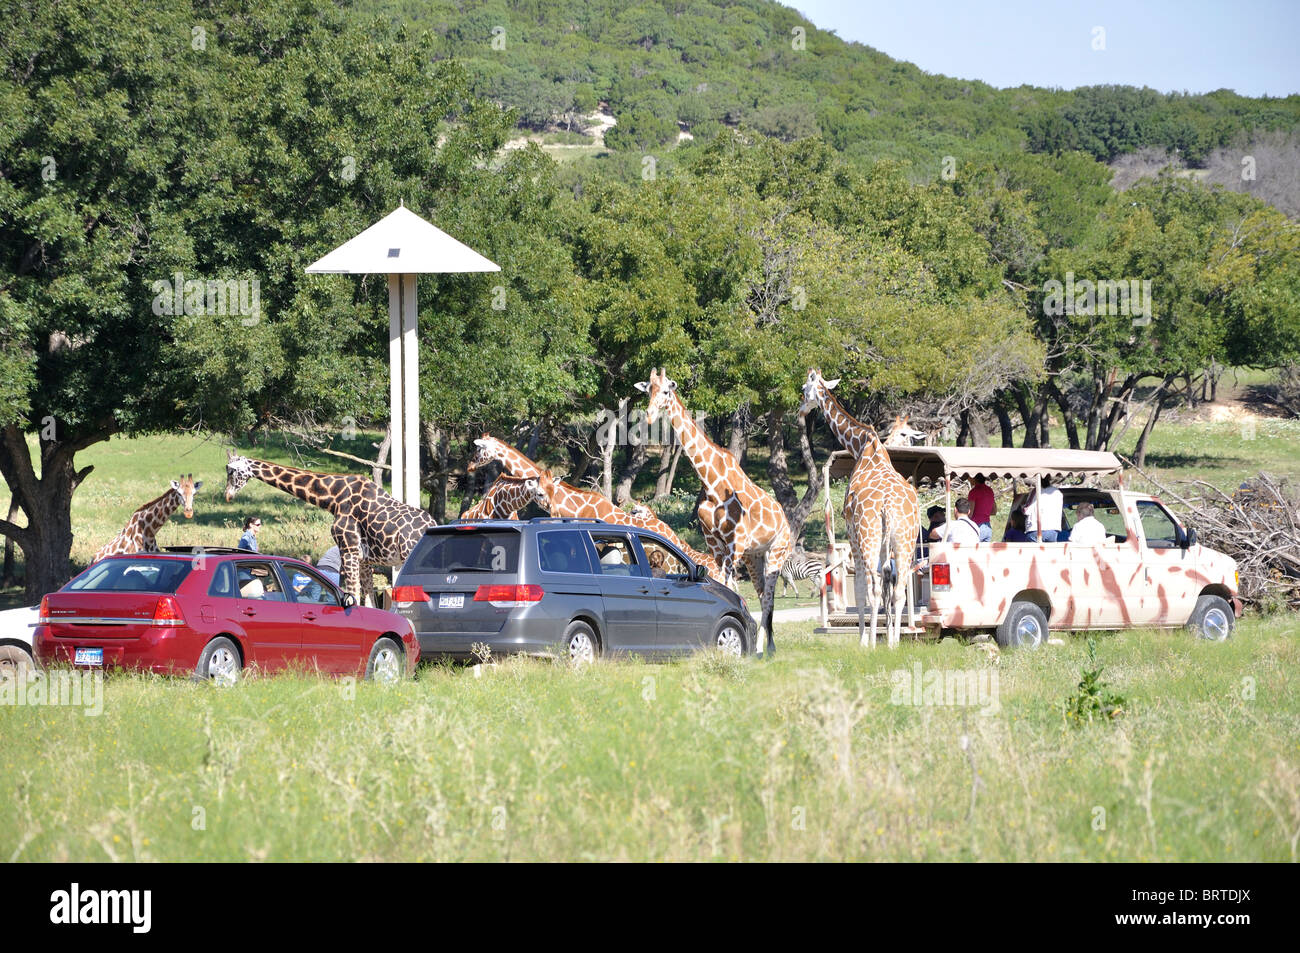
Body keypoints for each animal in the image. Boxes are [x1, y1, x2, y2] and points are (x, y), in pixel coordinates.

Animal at [223, 452, 434, 605]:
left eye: (232, 471)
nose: (227, 496)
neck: (333, 498)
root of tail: (432, 524)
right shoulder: (364, 559)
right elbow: (368, 600)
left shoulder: (348, 551)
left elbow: (353, 595)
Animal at [636, 369, 792, 656]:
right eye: (647, 390)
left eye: (666, 390)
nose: (650, 415)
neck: (711, 483)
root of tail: (785, 521)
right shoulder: (715, 543)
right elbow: (721, 585)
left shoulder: (734, 543)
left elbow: (730, 587)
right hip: (755, 556)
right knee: (763, 593)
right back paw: (766, 646)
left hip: (776, 551)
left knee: (769, 596)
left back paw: (766, 648)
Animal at [798, 369, 921, 648]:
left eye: (803, 389)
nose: (800, 411)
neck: (863, 445)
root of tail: (888, 506)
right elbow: (888, 587)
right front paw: (886, 637)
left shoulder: (852, 533)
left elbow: (862, 589)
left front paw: (864, 639)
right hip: (903, 539)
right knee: (898, 590)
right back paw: (894, 643)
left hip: (869, 537)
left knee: (873, 586)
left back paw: (872, 643)